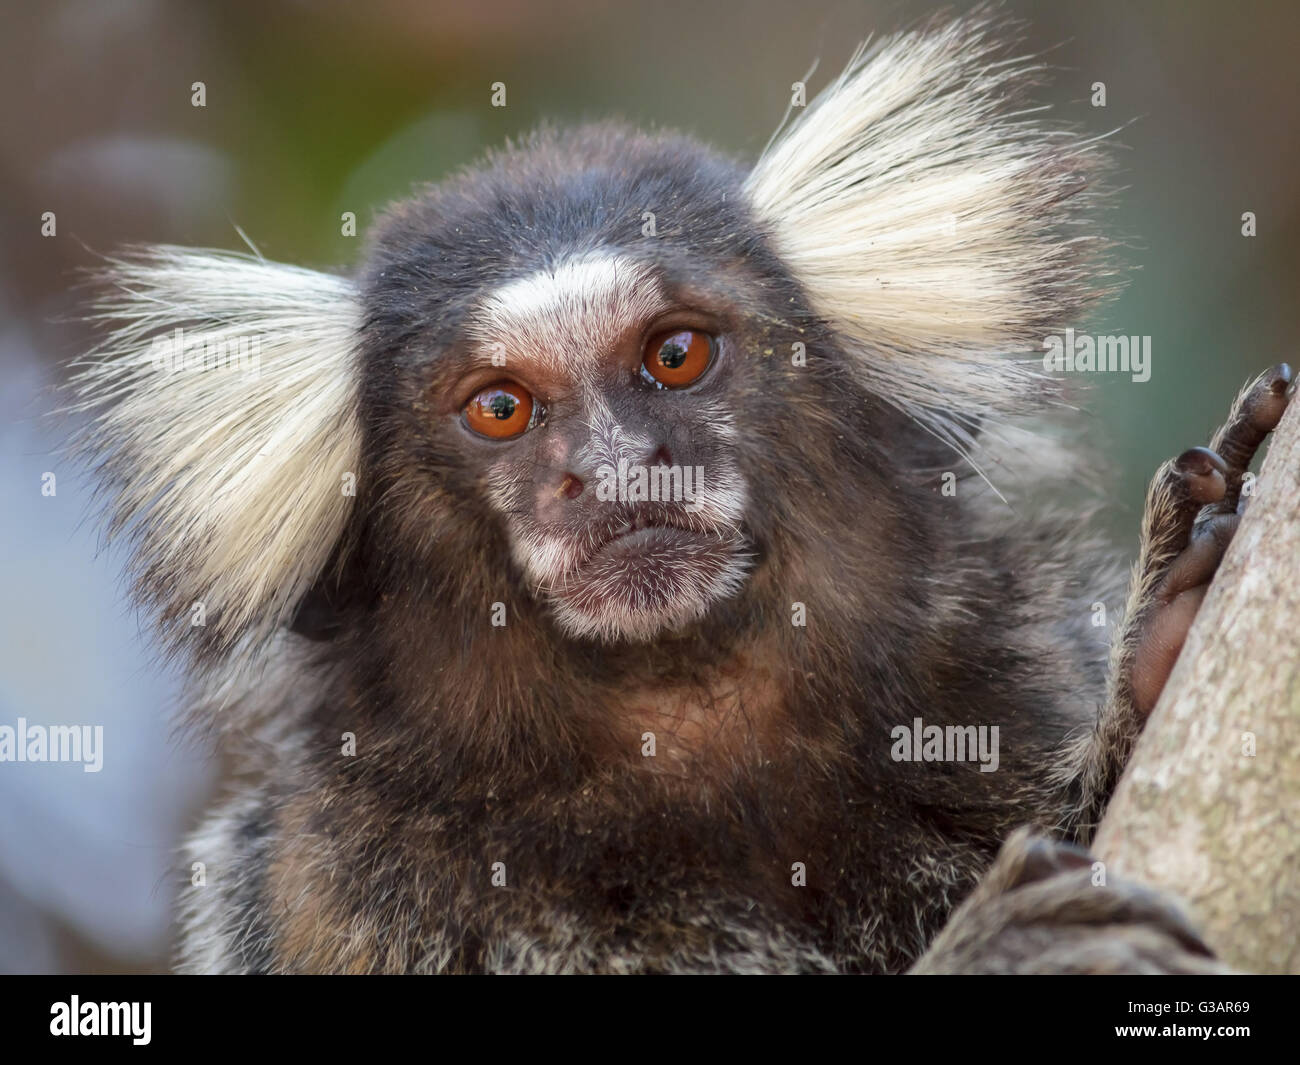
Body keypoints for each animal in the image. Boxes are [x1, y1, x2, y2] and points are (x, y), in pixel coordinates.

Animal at [68, 13, 1291, 974]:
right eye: (500, 407)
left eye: (675, 354)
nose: (615, 466)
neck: (687, 736)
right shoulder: (319, 885)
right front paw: (998, 955)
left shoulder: (1004, 673)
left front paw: (1159, 639)